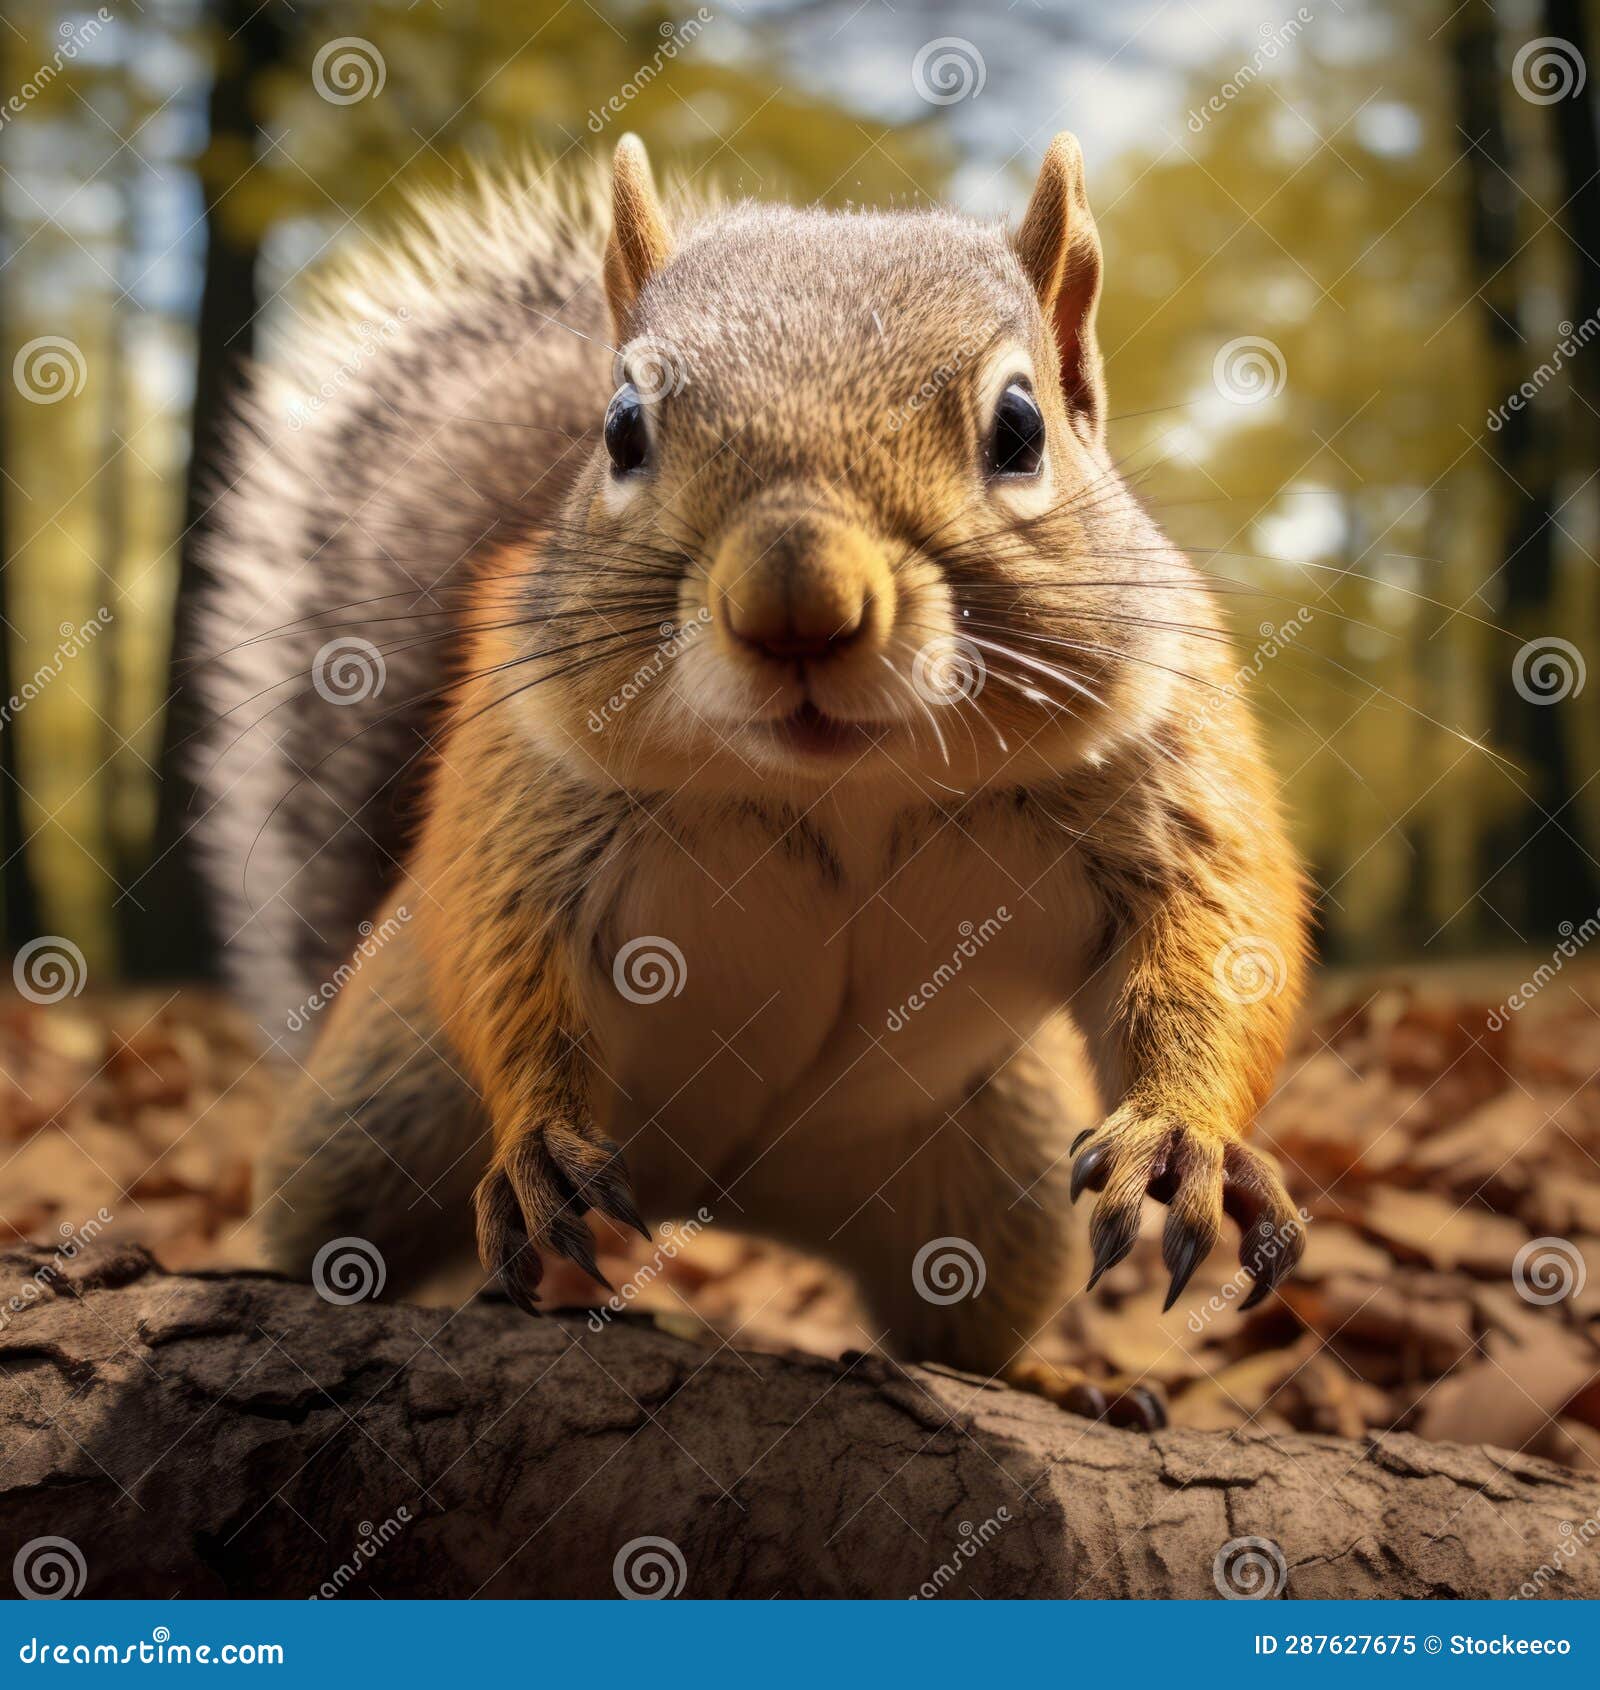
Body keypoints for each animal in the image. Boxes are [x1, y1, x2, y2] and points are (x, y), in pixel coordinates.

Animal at [196, 134, 1309, 1430]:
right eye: (622, 428)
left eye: (1021, 427)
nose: (796, 602)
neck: (850, 786)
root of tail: (724, 1195)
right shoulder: (525, 780)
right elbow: (505, 951)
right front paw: (539, 1136)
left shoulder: (1167, 757)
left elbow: (1215, 938)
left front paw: (1179, 1138)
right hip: (379, 1108)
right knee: (330, 1224)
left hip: (995, 1171)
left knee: (961, 1325)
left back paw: (1052, 1376)